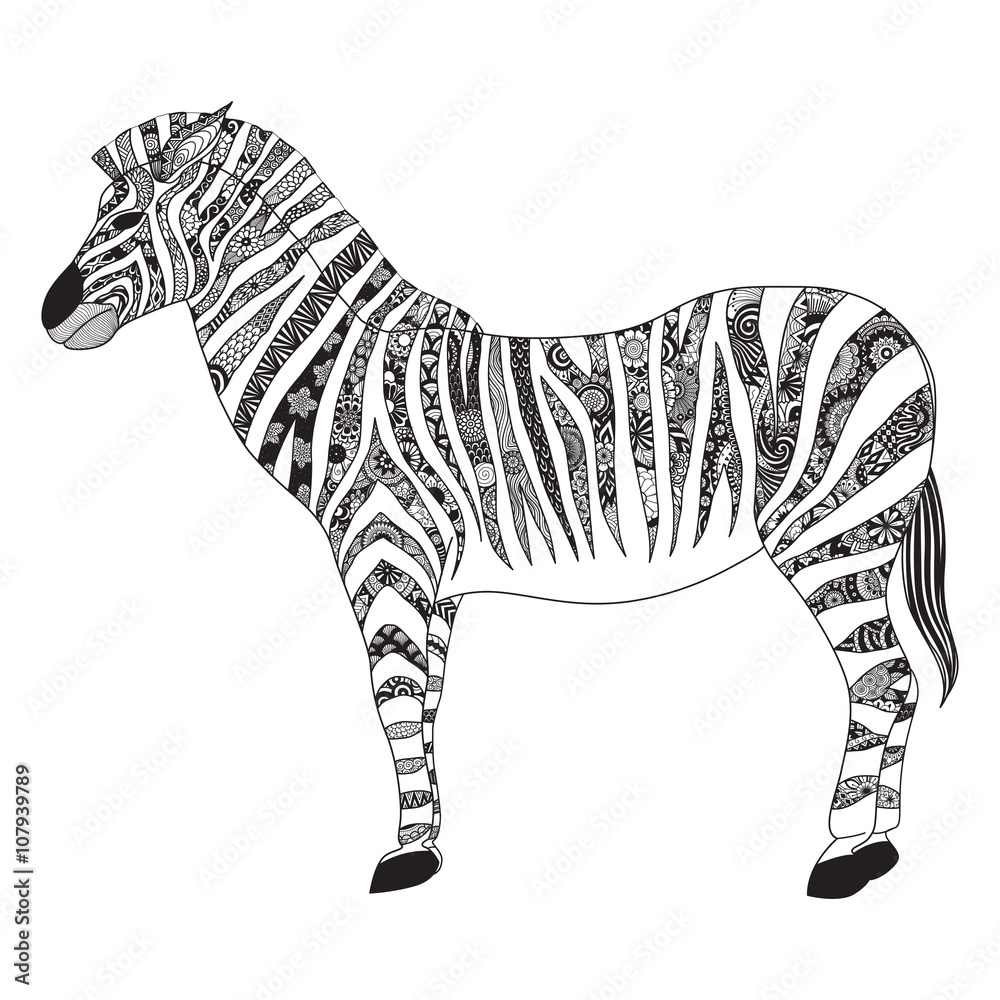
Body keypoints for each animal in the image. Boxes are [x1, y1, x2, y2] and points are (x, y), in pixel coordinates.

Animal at [42, 105, 958, 898]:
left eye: (125, 216)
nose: (49, 316)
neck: (334, 371)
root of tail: (898, 333)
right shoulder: (429, 578)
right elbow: (424, 704)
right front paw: (426, 839)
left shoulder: (383, 547)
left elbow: (392, 701)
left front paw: (405, 857)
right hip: (862, 530)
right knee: (907, 679)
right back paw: (883, 843)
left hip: (829, 528)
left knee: (879, 676)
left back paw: (843, 854)